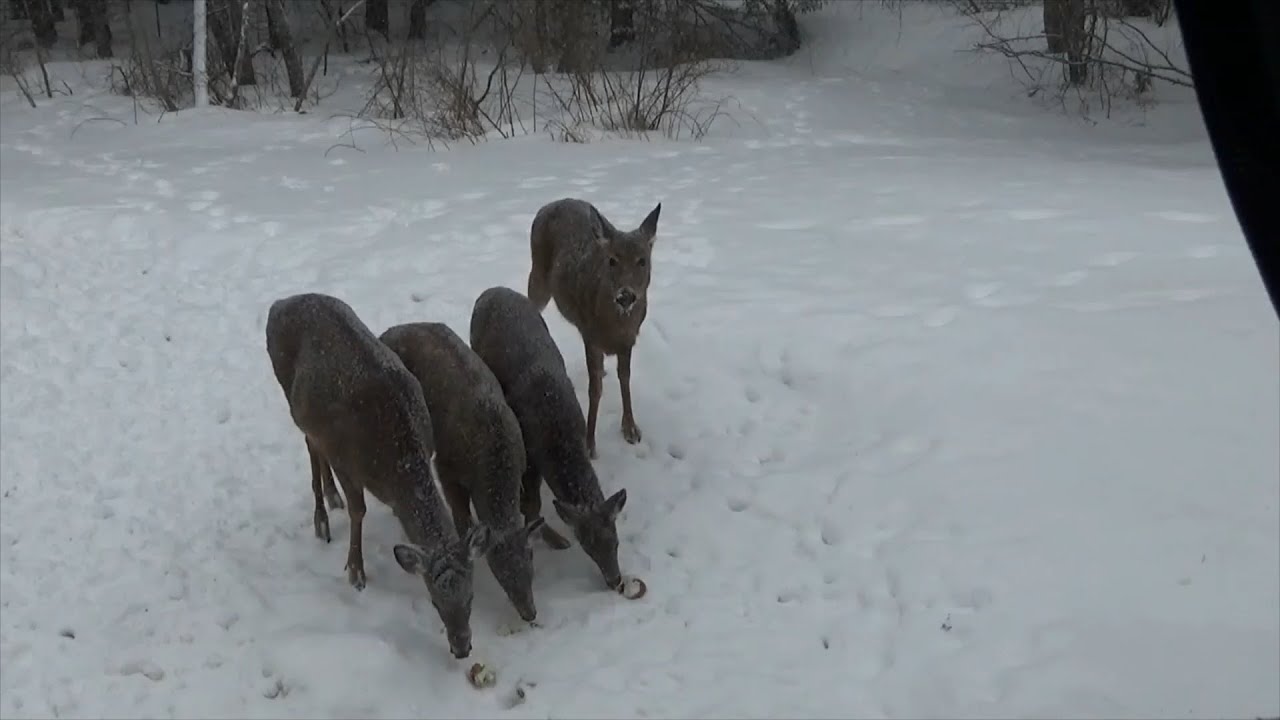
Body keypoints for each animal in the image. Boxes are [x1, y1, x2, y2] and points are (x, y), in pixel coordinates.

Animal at [265, 291, 519, 659]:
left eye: (470, 598)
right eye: (434, 602)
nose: (462, 648)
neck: (396, 464)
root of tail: (279, 304)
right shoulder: (346, 460)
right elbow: (359, 511)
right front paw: (355, 571)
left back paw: (331, 496)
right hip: (289, 395)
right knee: (311, 445)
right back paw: (322, 518)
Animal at [379, 321, 547, 624]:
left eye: (530, 563)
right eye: (500, 572)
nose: (530, 613)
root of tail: (385, 333)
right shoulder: (447, 468)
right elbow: (461, 518)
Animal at [469, 286, 631, 593]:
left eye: (616, 541)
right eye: (588, 546)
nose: (616, 580)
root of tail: (490, 291)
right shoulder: (529, 459)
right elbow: (532, 506)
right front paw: (554, 539)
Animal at [526, 198, 662, 459]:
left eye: (642, 260)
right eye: (612, 260)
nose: (626, 296)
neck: (614, 327)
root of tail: (551, 203)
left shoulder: (628, 340)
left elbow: (625, 379)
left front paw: (630, 428)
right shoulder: (590, 336)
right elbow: (594, 390)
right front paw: (589, 444)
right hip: (537, 274)